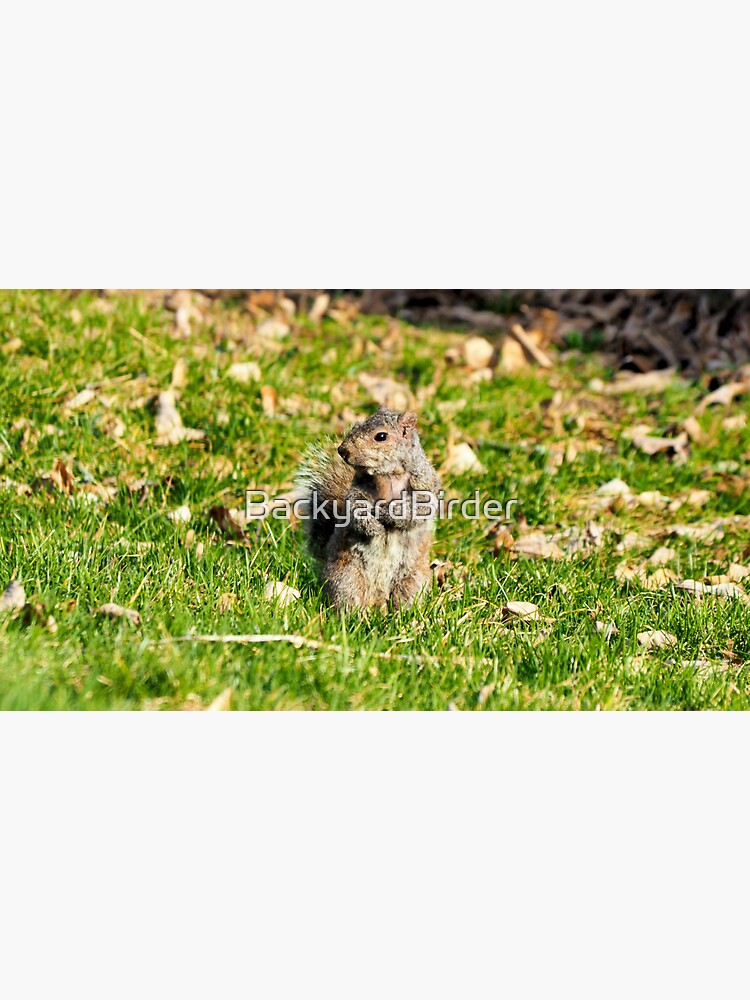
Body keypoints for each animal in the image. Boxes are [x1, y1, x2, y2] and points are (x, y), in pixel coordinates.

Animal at [294, 406, 442, 610]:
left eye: (381, 436)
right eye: (357, 425)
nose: (342, 450)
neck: (388, 476)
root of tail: (378, 599)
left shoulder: (424, 485)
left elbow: (418, 508)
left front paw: (388, 512)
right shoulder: (357, 491)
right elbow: (354, 508)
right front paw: (373, 527)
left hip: (411, 579)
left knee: (405, 597)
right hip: (348, 578)